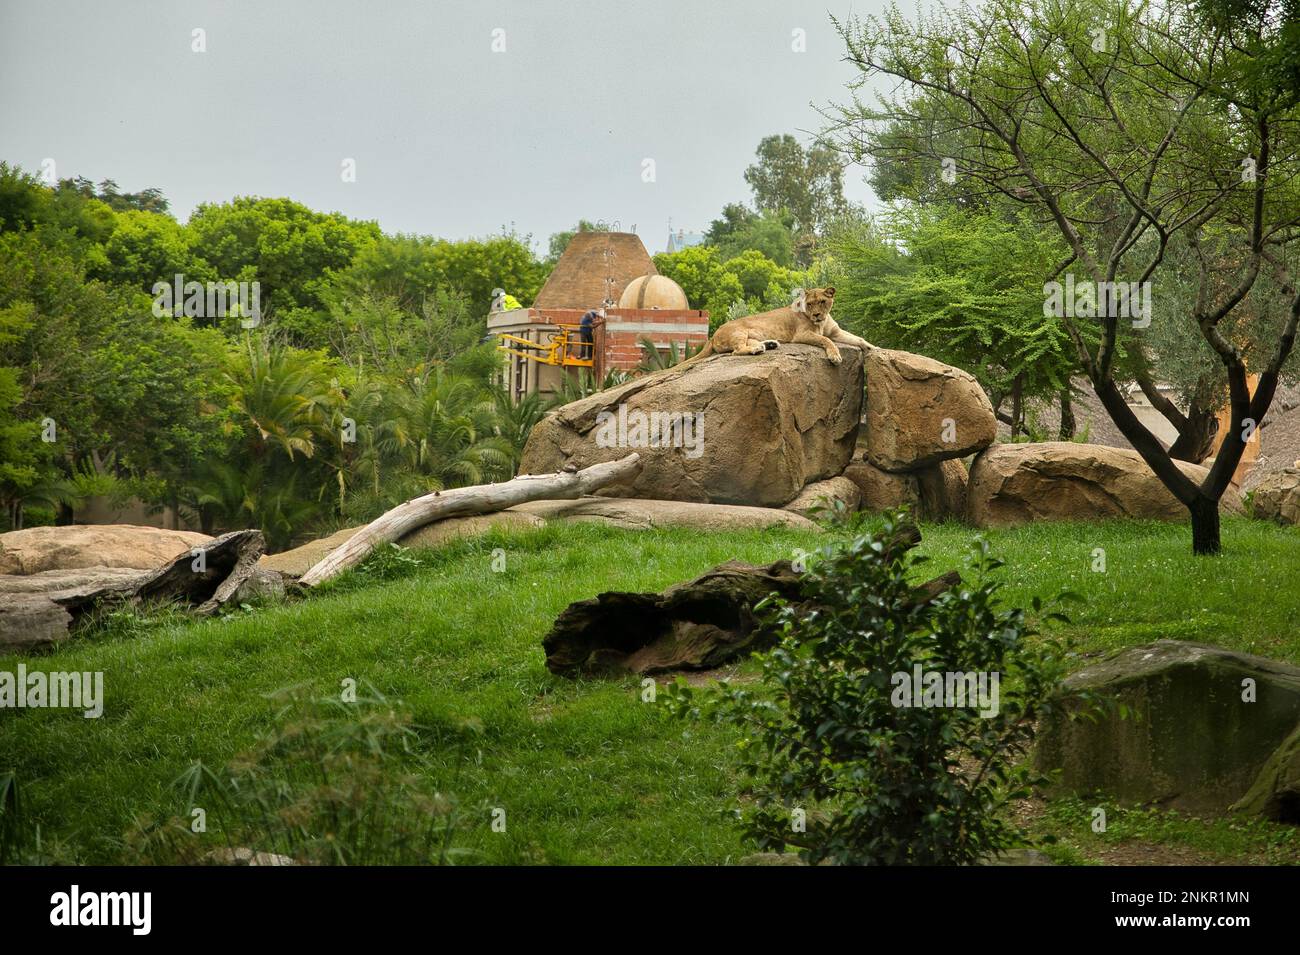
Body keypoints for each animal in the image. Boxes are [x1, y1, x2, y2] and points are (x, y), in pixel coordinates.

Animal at [678, 287, 872, 367]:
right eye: (810, 304)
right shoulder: (802, 335)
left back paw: (768, 345)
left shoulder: (836, 332)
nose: (816, 314)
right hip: (739, 331)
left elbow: (858, 338)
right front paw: (835, 356)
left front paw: (872, 347)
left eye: (823, 302)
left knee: (749, 344)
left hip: (751, 335)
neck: (822, 322)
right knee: (736, 351)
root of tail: (713, 335)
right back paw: (758, 350)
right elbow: (825, 340)